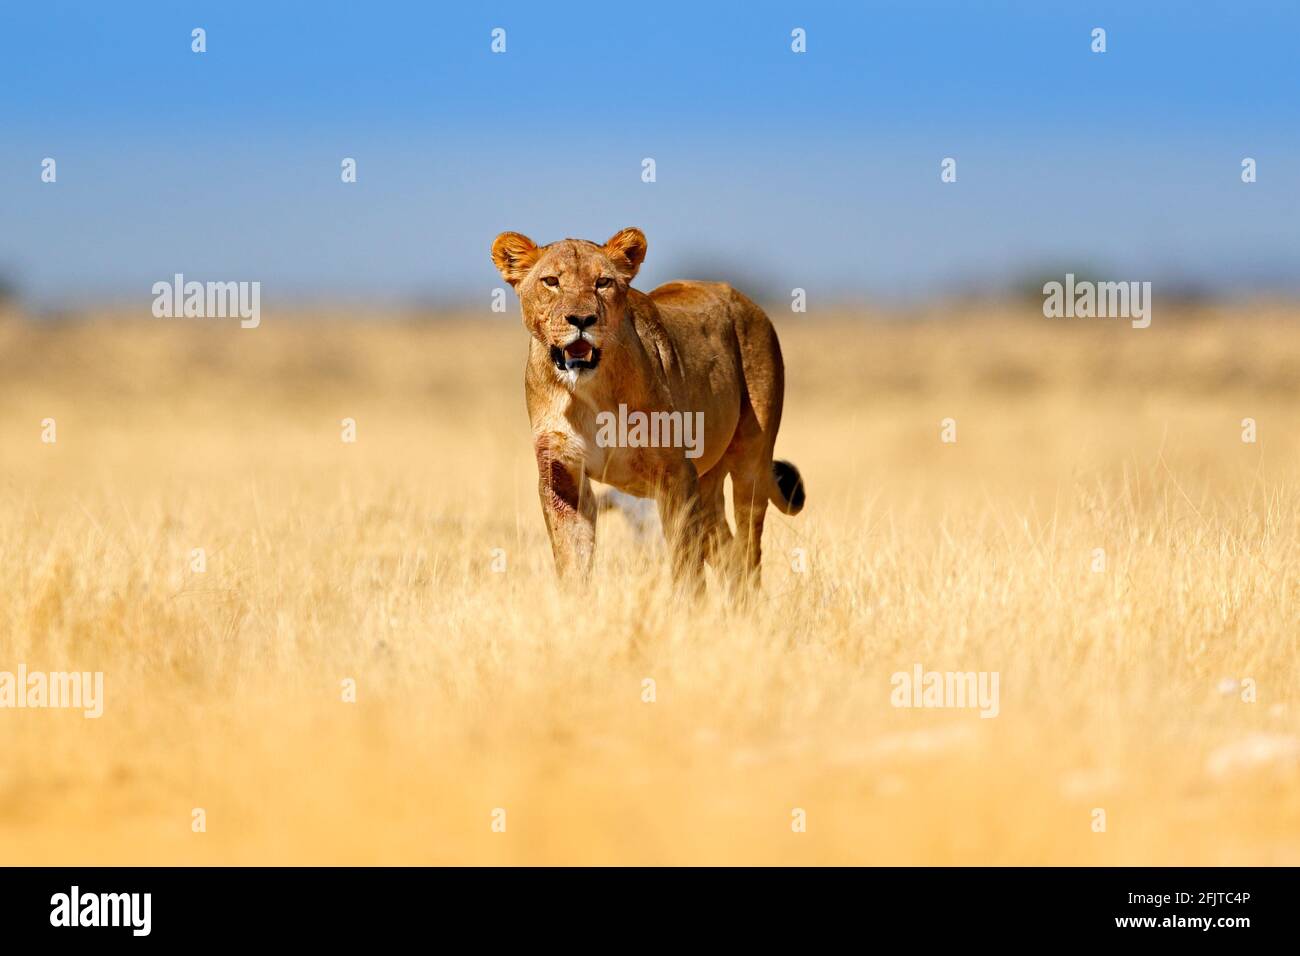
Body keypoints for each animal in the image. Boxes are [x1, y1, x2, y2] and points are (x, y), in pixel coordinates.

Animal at [491, 226, 805, 591]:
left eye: (603, 282)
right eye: (551, 281)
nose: (582, 319)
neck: (587, 391)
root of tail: (747, 301)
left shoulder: (676, 473)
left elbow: (686, 561)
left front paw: (685, 604)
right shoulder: (561, 473)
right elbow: (572, 559)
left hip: (750, 464)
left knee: (748, 552)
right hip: (708, 480)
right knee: (729, 554)